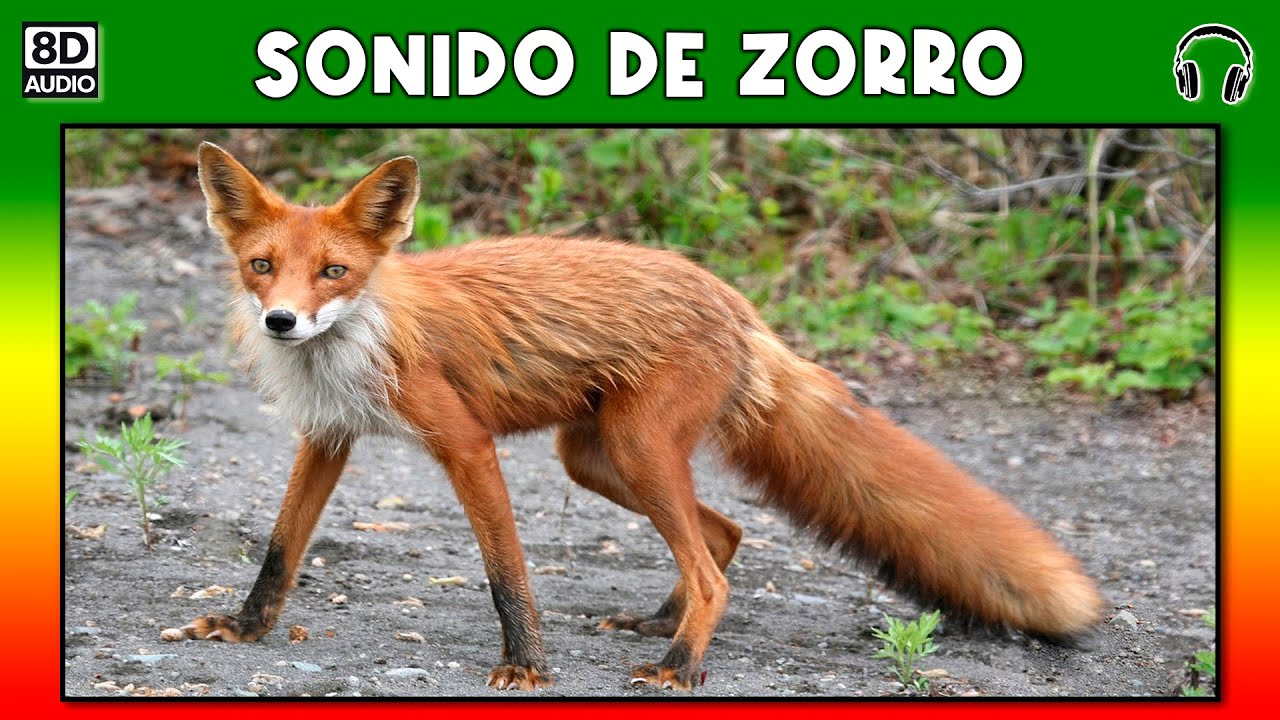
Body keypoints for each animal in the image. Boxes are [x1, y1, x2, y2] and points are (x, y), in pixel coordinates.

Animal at [182, 142, 1104, 691]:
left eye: (333, 272)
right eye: (262, 266)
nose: (281, 321)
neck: (359, 338)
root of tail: (735, 301)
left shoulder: (466, 444)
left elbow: (507, 574)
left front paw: (526, 666)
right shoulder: (327, 436)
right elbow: (280, 550)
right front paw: (245, 627)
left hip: (632, 447)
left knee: (714, 567)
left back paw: (678, 664)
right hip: (595, 457)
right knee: (723, 535)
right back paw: (663, 622)